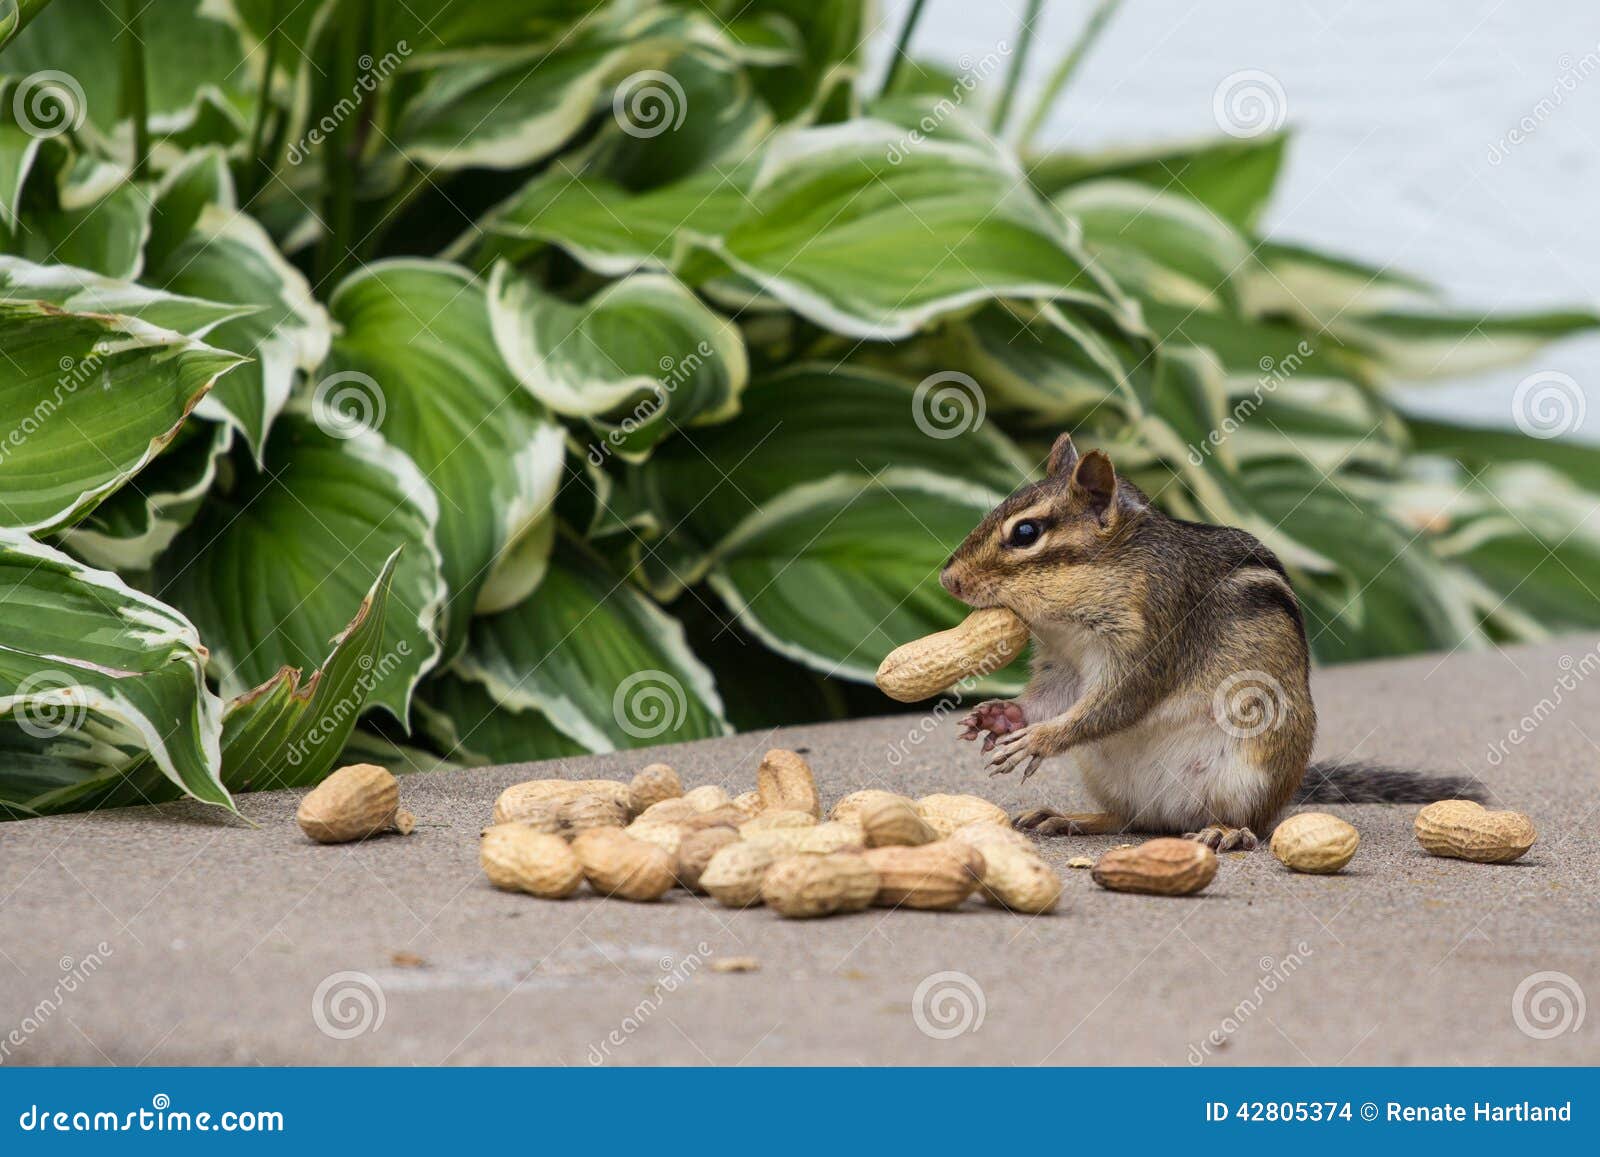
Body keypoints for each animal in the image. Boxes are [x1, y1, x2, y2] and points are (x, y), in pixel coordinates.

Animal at [940, 433, 1484, 851]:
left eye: (1025, 532)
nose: (948, 579)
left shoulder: (1154, 639)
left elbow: (1116, 704)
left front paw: (1040, 738)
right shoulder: (1062, 663)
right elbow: (1052, 698)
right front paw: (999, 715)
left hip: (1251, 769)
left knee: (1249, 823)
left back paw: (1226, 831)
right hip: (1106, 776)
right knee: (1132, 819)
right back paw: (1072, 818)